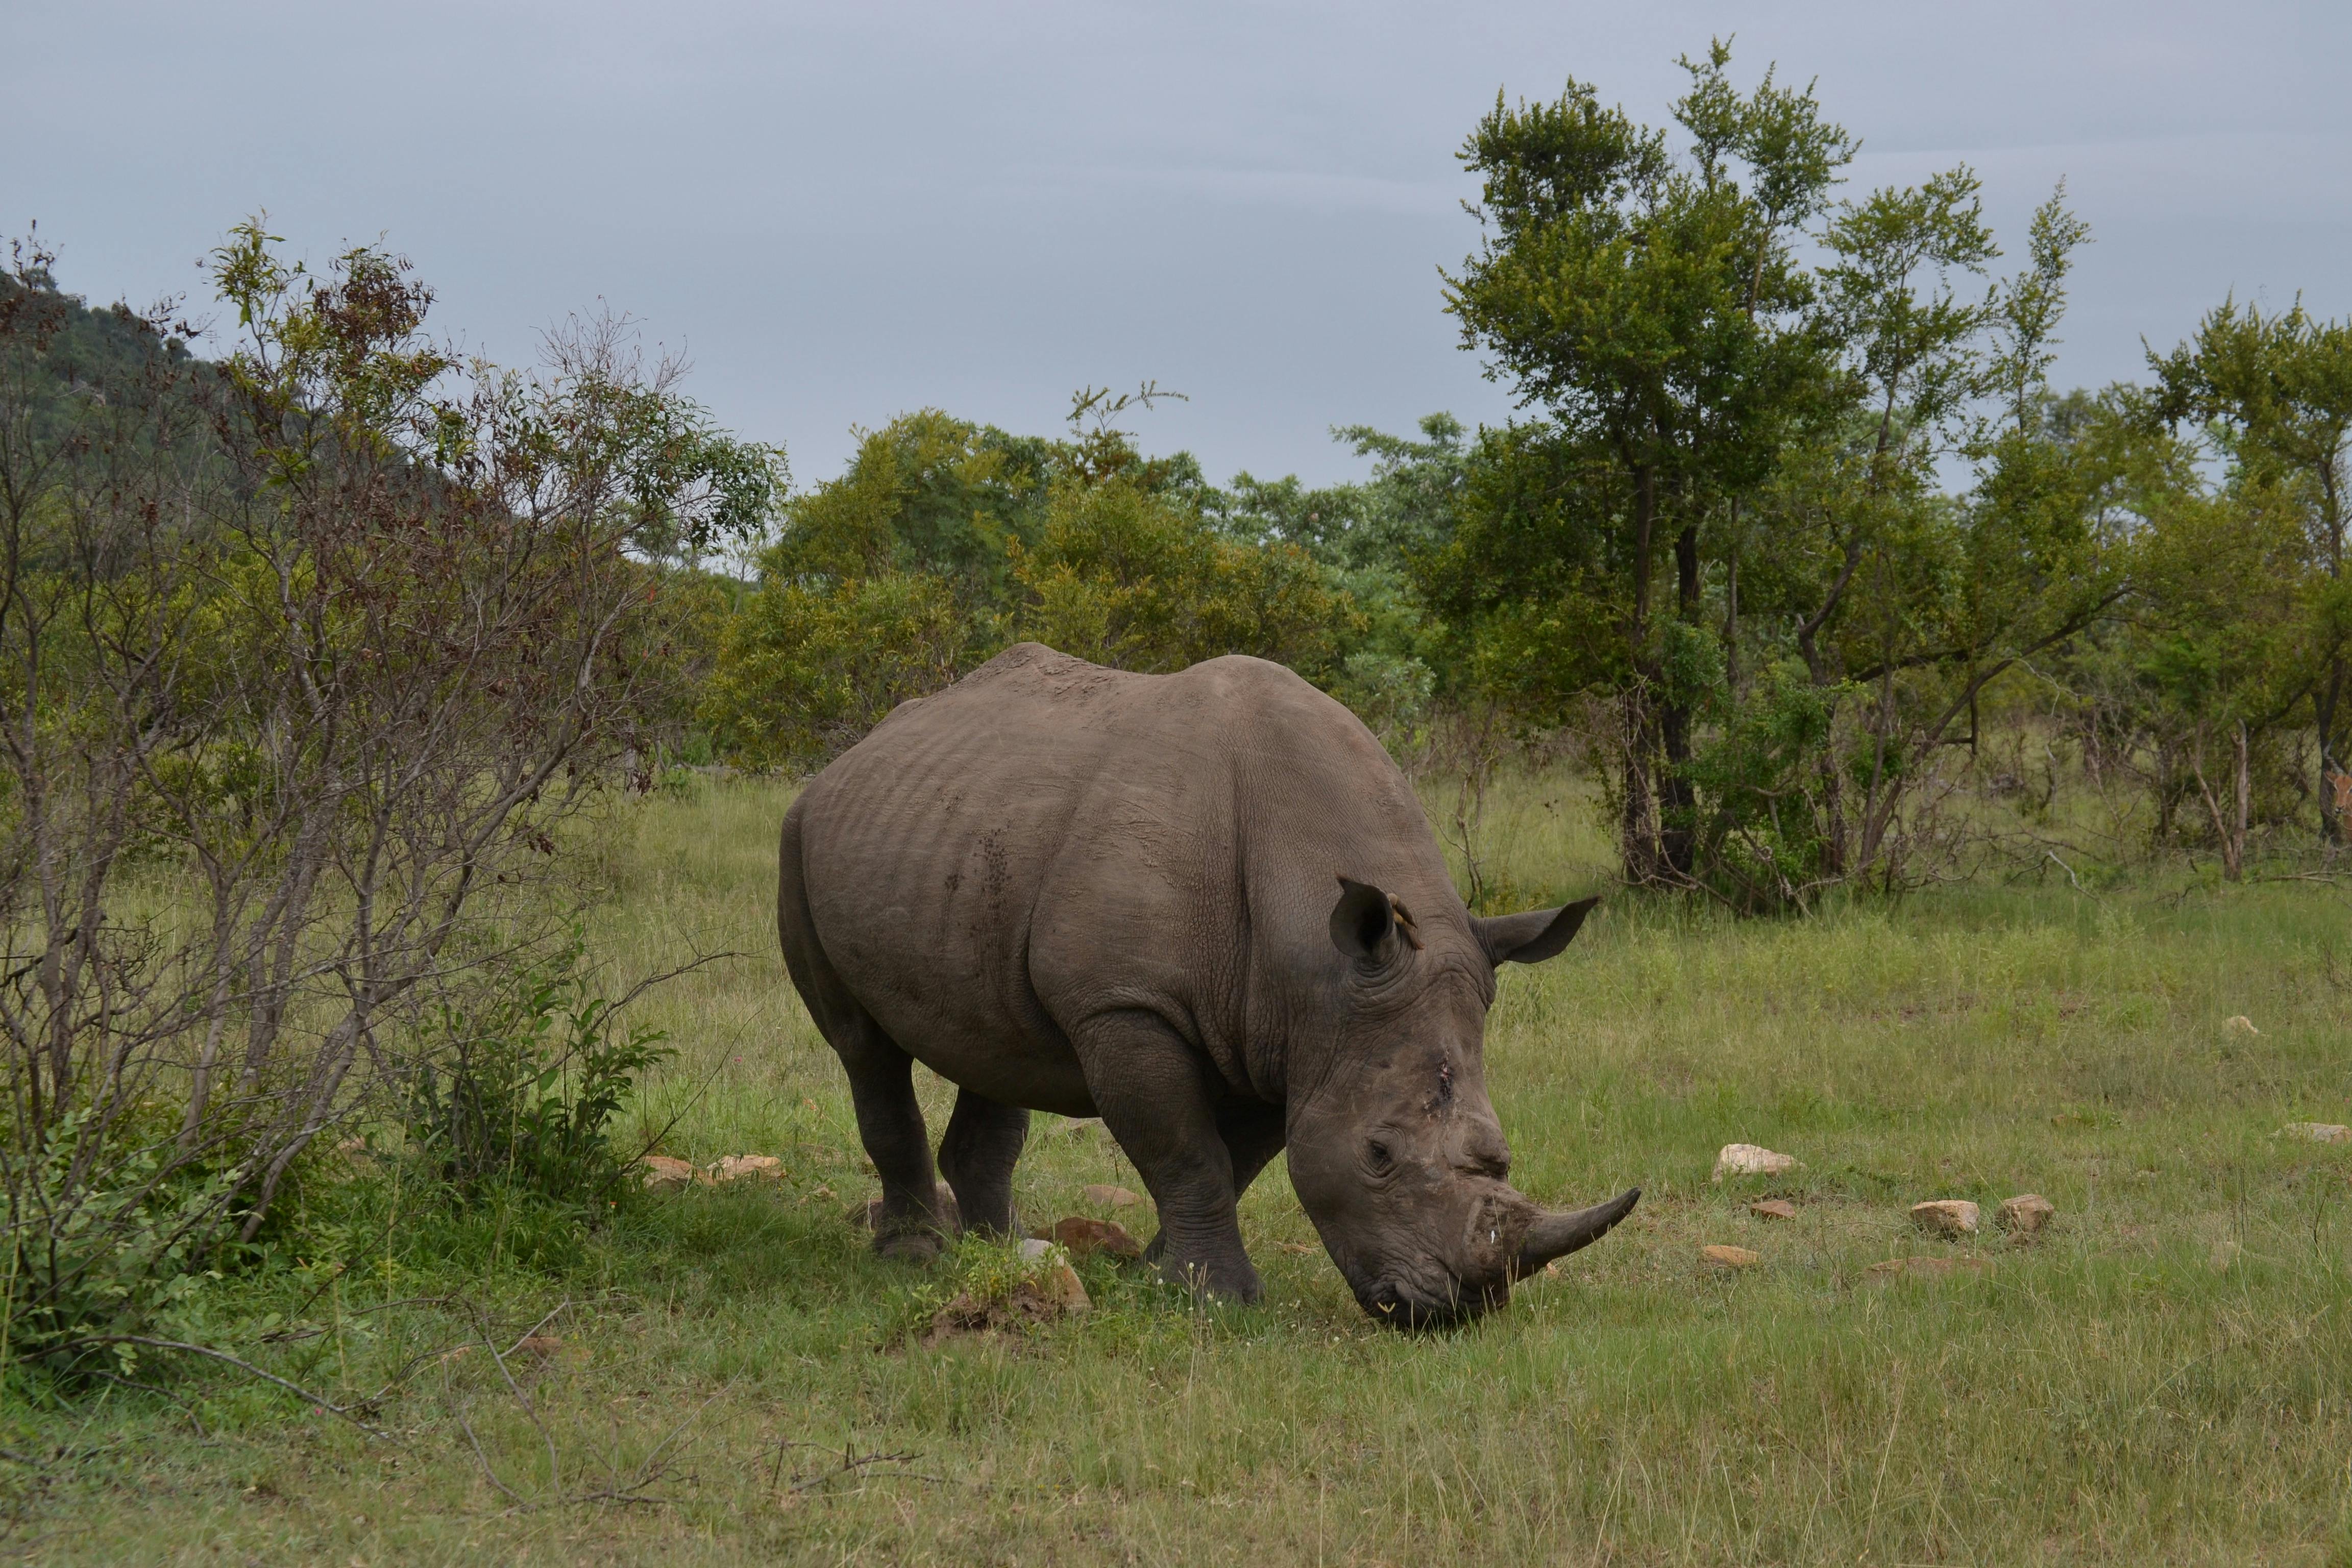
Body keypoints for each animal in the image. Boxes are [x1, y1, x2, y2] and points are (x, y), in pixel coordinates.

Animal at [777, 643, 1638, 1326]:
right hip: (800, 834)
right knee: (864, 1049)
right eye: (1379, 1152)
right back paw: (917, 1259)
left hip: (957, 830)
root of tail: (856, 752)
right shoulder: (1128, 1005)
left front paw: (1157, 1277)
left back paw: (1008, 1256)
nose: (1456, 1310)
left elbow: (1233, 1158)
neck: (1316, 959)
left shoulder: (1284, 1036)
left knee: (995, 1046)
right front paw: (1221, 1299)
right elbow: (1190, 1153)